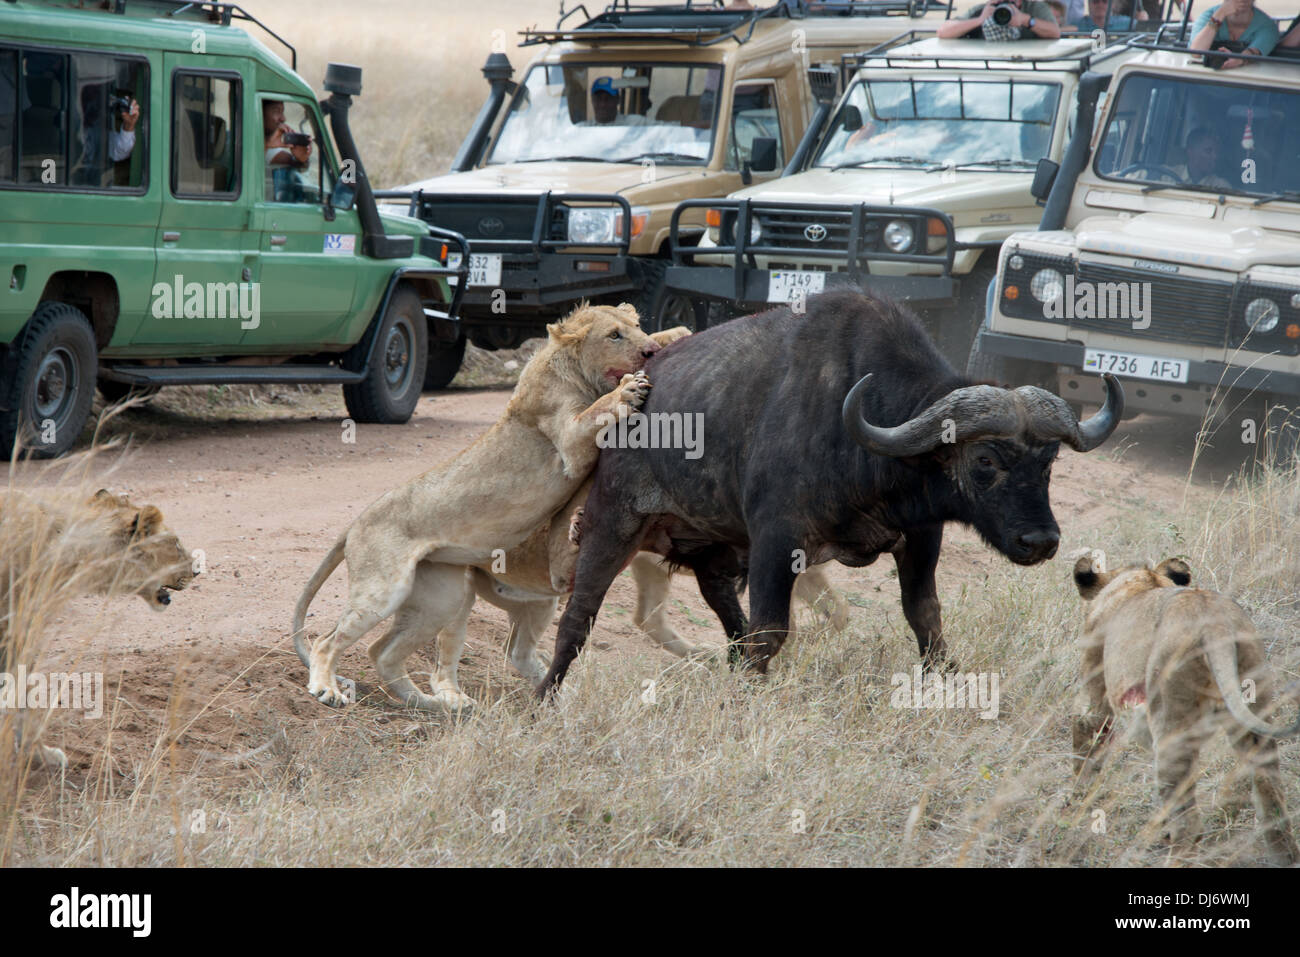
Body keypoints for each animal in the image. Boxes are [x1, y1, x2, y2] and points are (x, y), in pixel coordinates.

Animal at [1, 489, 194, 769]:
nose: (197, 570)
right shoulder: (15, 628)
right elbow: (23, 693)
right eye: (176, 544)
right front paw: (38, 753)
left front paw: (36, 753)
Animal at [292, 302, 661, 711]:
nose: (652, 350)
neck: (572, 370)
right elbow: (597, 412)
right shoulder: (568, 442)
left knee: (382, 652)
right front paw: (628, 389)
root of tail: (356, 522)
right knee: (327, 641)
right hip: (384, 589)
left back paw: (430, 703)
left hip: (440, 596)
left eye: (638, 326)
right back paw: (327, 689)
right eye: (614, 335)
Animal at [539, 289, 1123, 696]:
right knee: (577, 619)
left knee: (725, 612)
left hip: (713, 548)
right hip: (612, 523)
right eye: (985, 462)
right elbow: (770, 631)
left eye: (1049, 462)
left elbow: (927, 618)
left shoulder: (921, 537)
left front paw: (949, 682)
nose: (1040, 541)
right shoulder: (777, 541)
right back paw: (544, 697)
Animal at [1071, 551, 1300, 864]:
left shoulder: (1095, 689)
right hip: (1254, 704)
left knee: (1188, 823)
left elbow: (1086, 737)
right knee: (1270, 793)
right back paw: (1284, 857)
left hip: (1172, 723)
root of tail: (1213, 622)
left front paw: (1074, 804)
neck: (1141, 581)